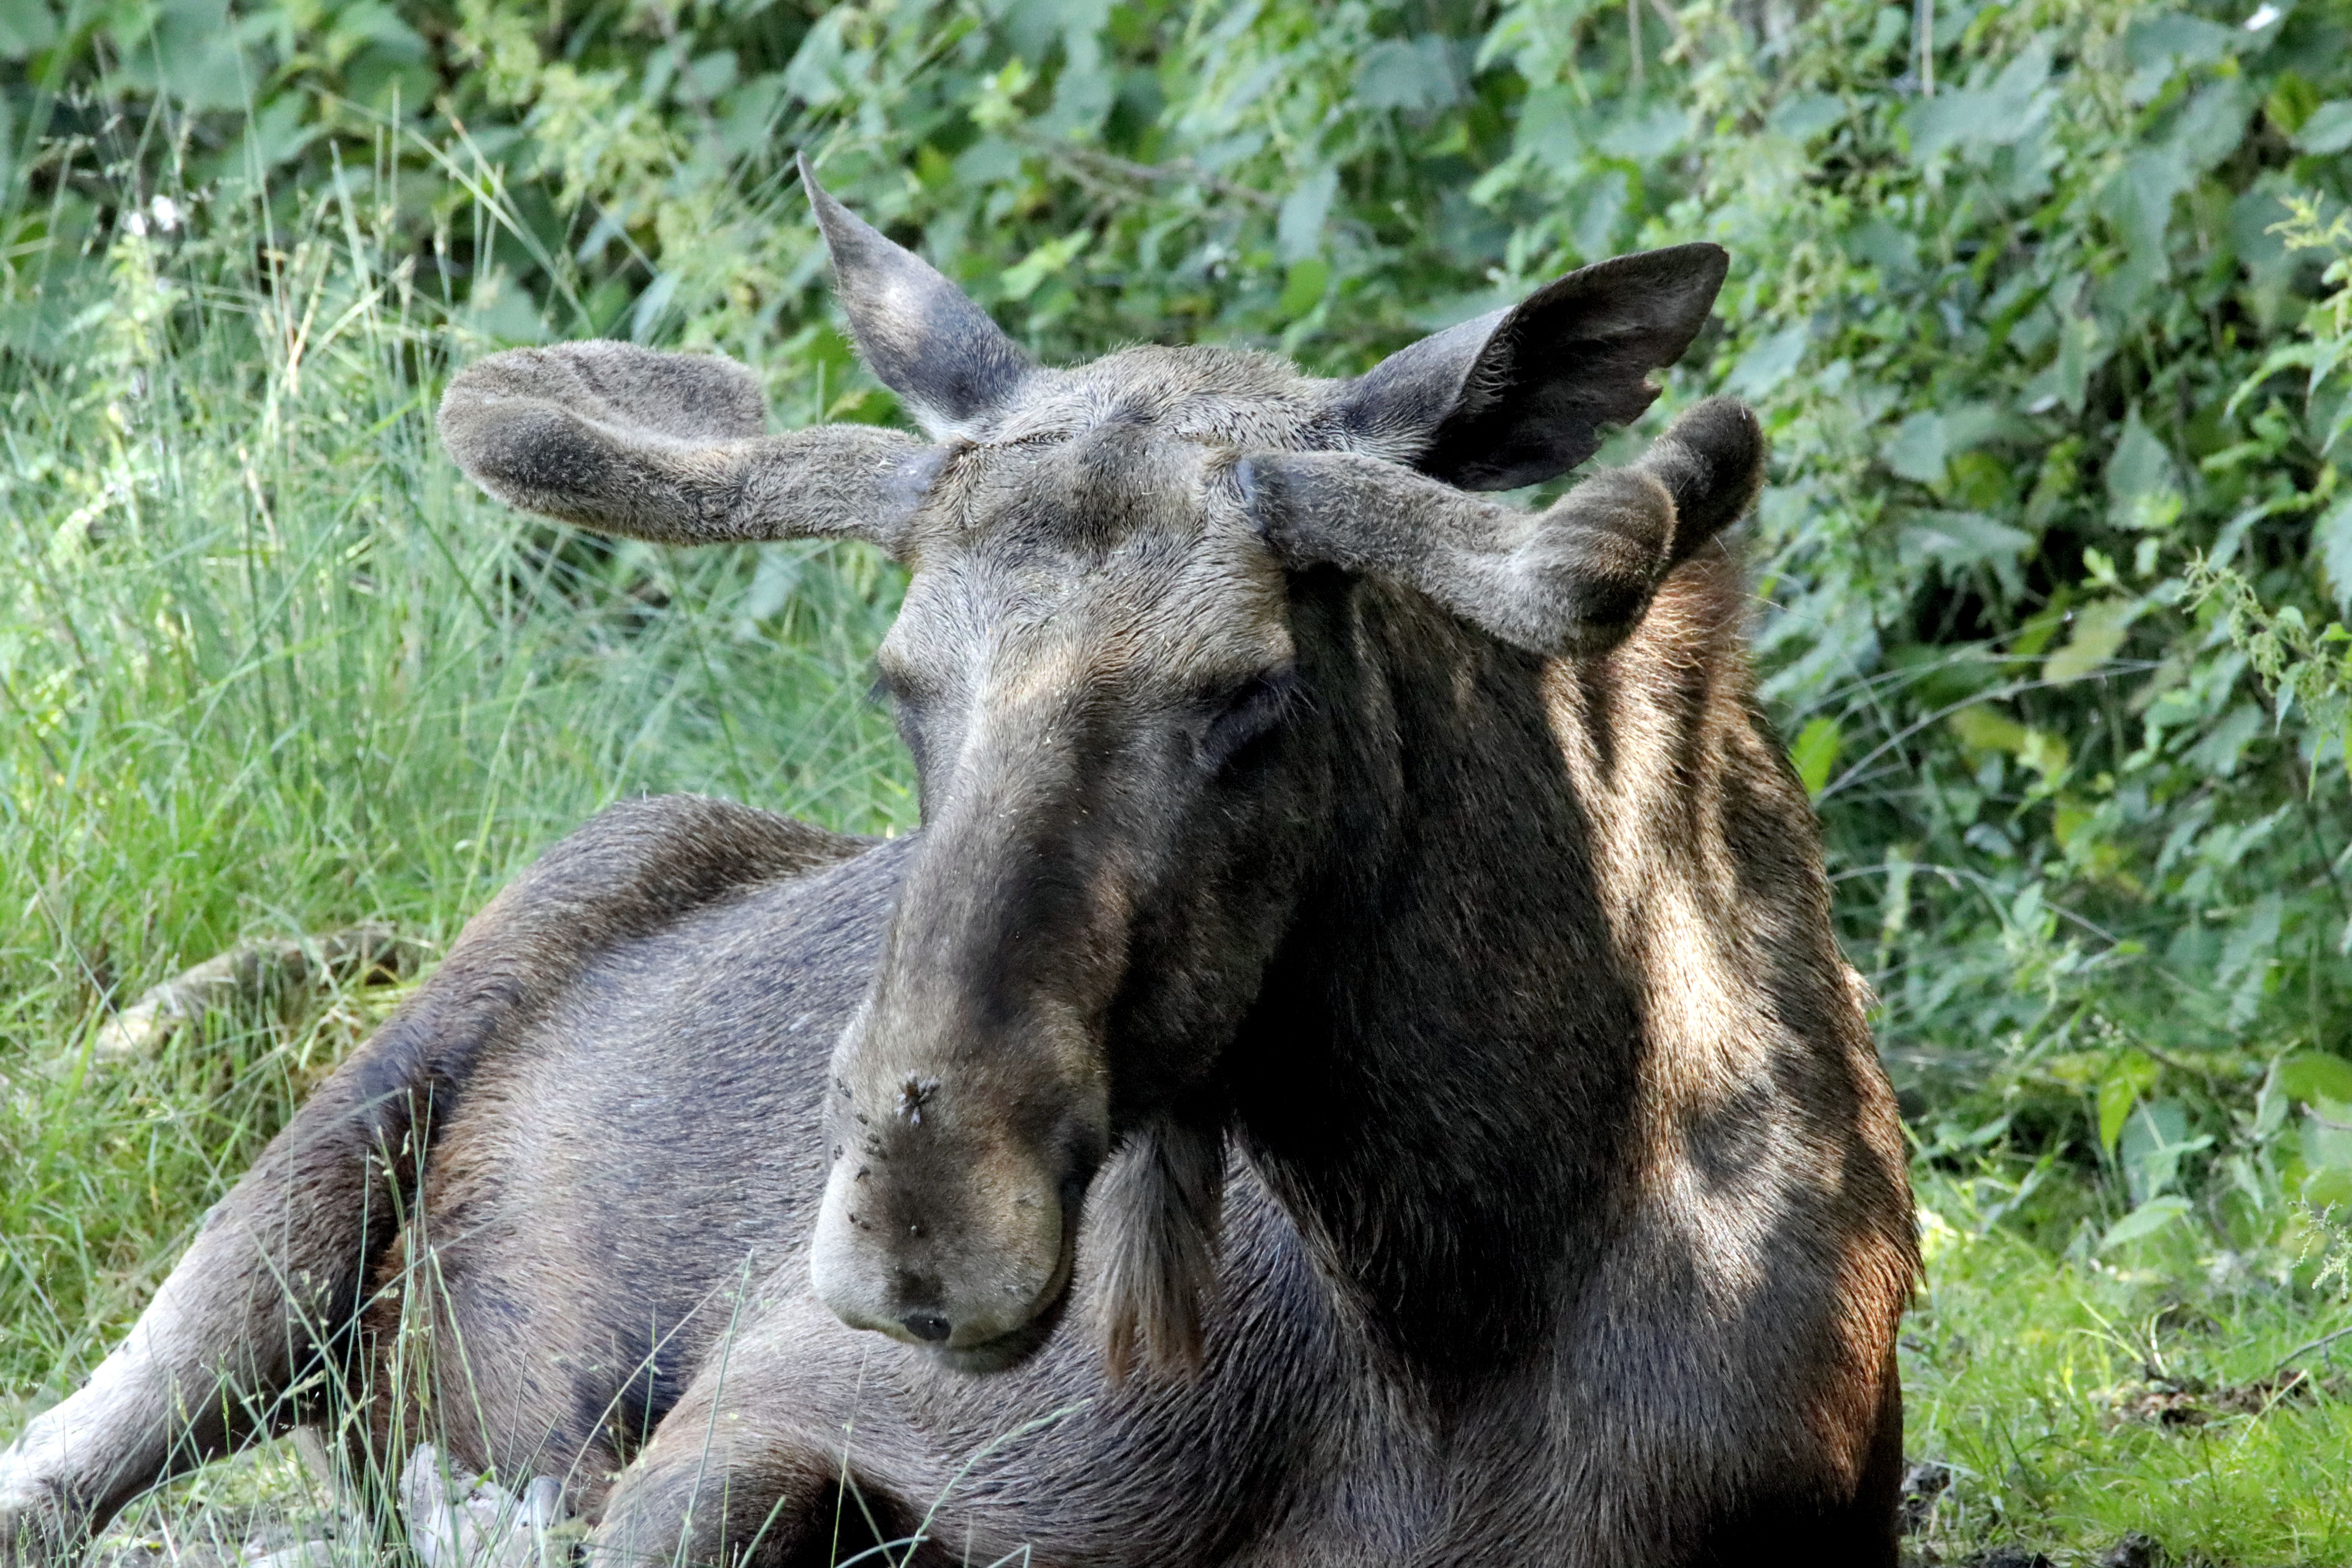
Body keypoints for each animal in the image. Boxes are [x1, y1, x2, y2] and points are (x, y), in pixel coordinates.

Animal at [0, 162, 1917, 1568]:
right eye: (900, 677)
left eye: (1251, 691)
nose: (924, 1213)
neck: (1442, 1309)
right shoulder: (752, 1411)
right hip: (333, 1138)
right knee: (65, 1455)